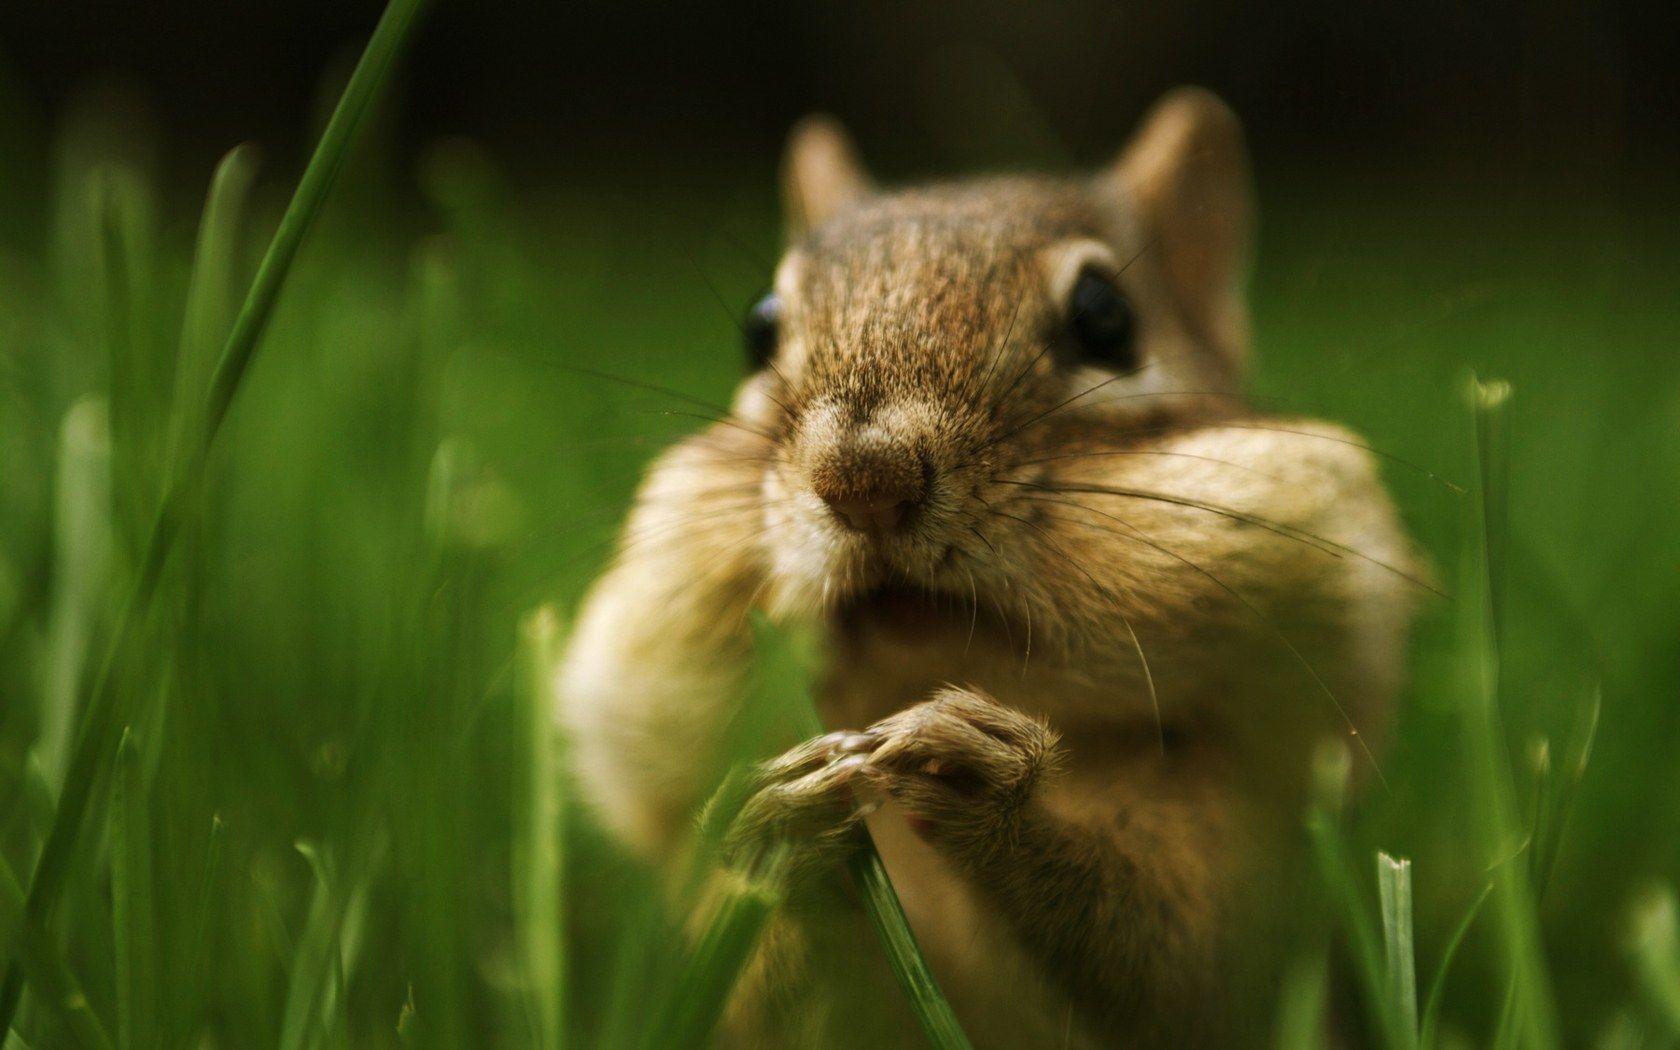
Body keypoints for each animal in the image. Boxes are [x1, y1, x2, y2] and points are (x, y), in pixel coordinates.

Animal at [556, 87, 1420, 1047]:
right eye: (757, 326)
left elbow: (1160, 961)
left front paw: (992, 784)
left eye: (1107, 316)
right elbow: (757, 995)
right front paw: (779, 836)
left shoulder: (1233, 882)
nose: (864, 479)